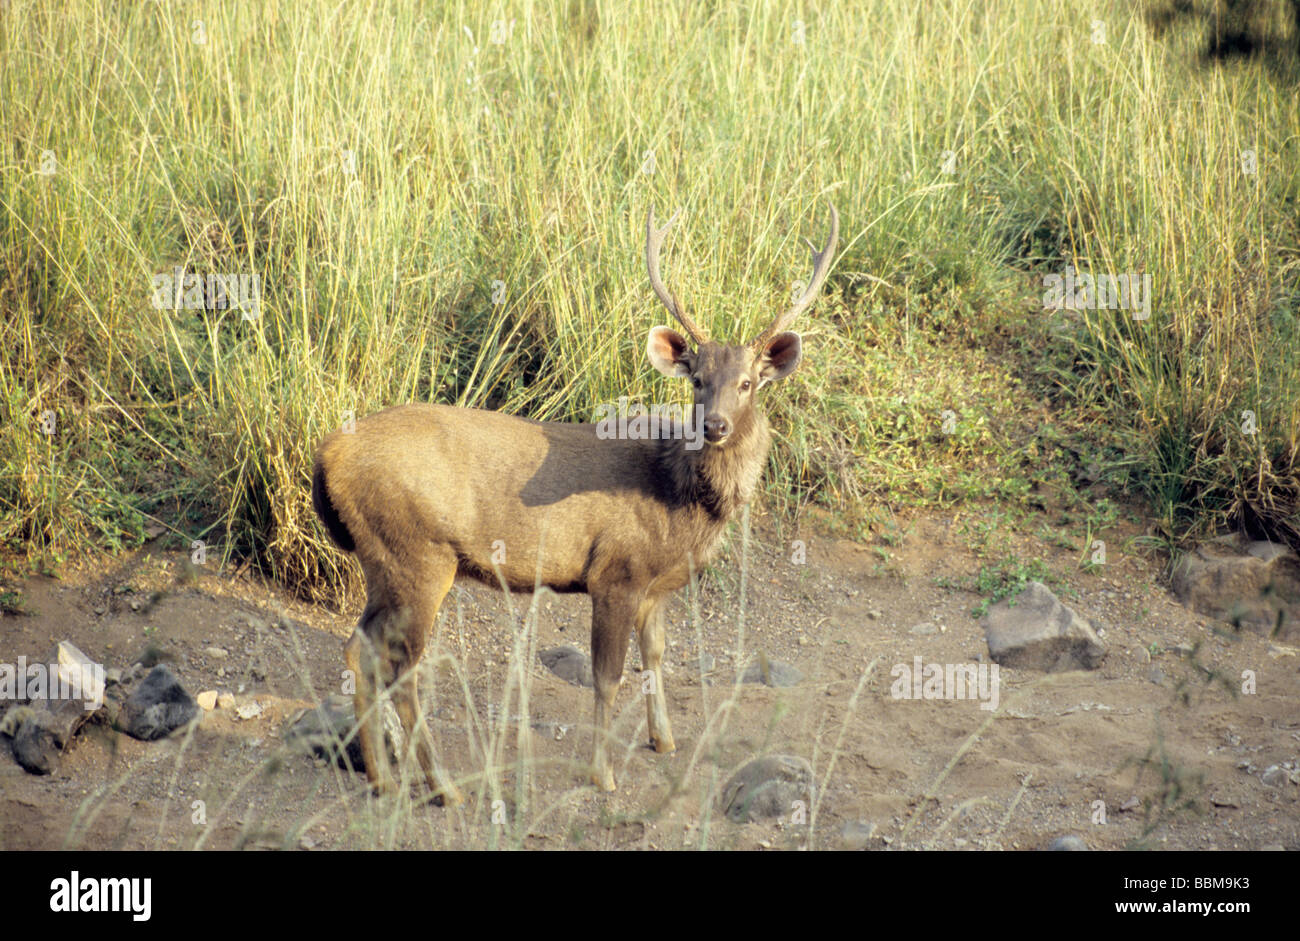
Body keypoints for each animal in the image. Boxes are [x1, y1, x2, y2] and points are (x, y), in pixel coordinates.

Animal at [311, 204, 839, 804]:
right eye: (698, 381)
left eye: (748, 383)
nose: (716, 425)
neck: (677, 501)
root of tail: (327, 454)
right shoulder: (616, 571)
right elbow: (607, 676)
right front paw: (602, 773)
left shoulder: (657, 585)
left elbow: (657, 654)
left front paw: (664, 741)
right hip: (417, 553)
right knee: (400, 666)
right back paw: (444, 787)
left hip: (384, 561)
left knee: (359, 649)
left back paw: (381, 777)